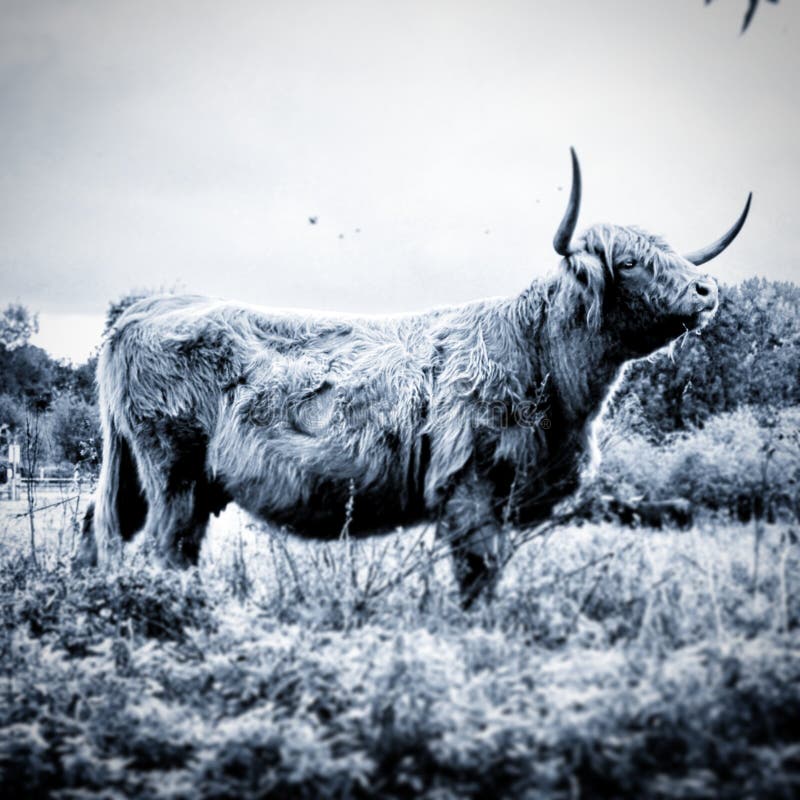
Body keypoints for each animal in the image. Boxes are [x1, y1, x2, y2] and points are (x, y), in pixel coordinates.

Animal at [76, 149, 751, 605]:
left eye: (676, 256)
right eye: (631, 262)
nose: (706, 288)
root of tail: (146, 306)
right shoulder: (470, 482)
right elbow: (478, 573)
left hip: (135, 471)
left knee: (101, 527)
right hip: (173, 469)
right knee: (165, 547)